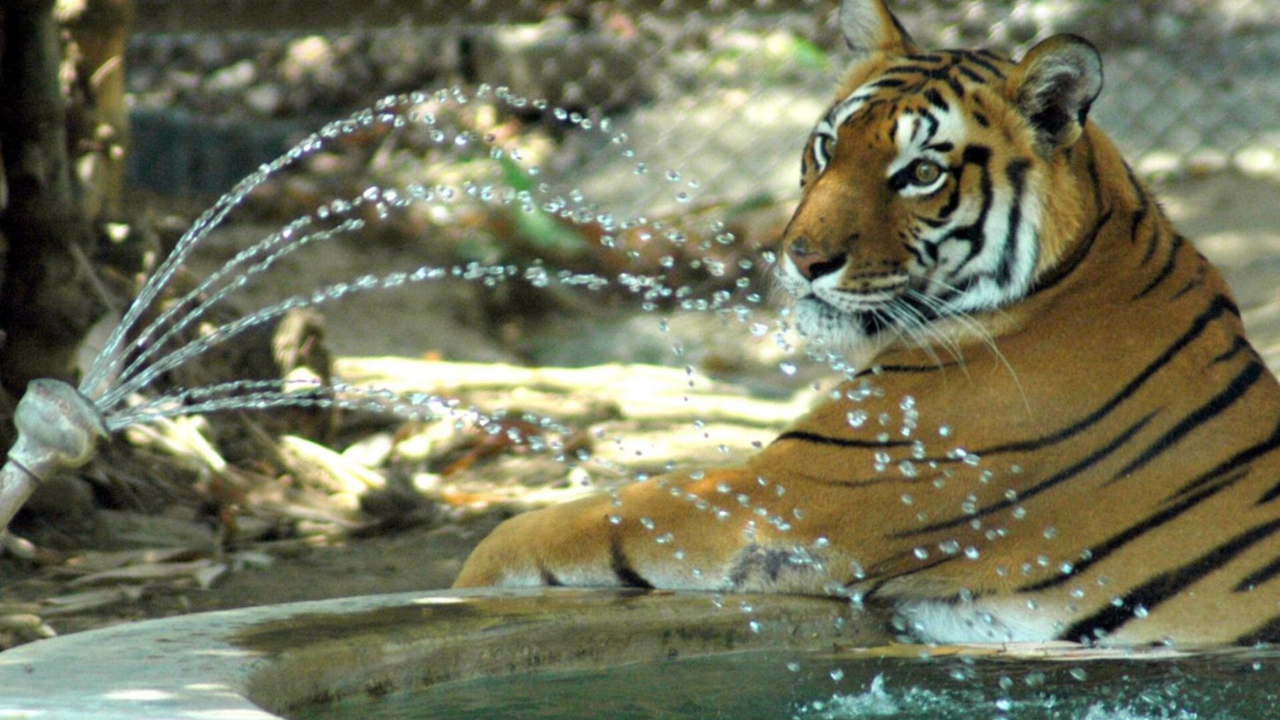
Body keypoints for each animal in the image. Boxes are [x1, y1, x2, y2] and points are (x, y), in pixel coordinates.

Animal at [454, 0, 1280, 648]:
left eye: (922, 173)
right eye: (827, 147)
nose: (801, 257)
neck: (1074, 273)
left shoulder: (784, 492)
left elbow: (558, 526)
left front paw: (469, 580)